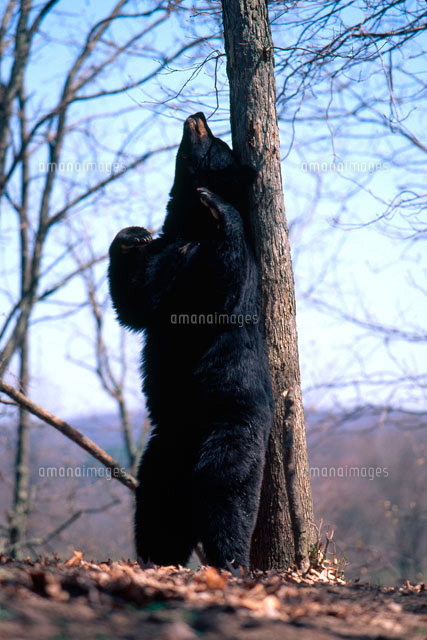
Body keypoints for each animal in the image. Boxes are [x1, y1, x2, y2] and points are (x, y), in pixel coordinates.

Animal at [108, 112, 273, 570]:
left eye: (217, 142)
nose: (197, 115)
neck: (189, 229)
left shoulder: (226, 269)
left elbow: (226, 288)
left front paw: (215, 203)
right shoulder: (166, 260)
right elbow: (134, 303)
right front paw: (133, 234)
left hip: (232, 429)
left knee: (226, 492)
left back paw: (231, 560)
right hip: (162, 450)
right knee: (156, 503)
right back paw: (156, 557)